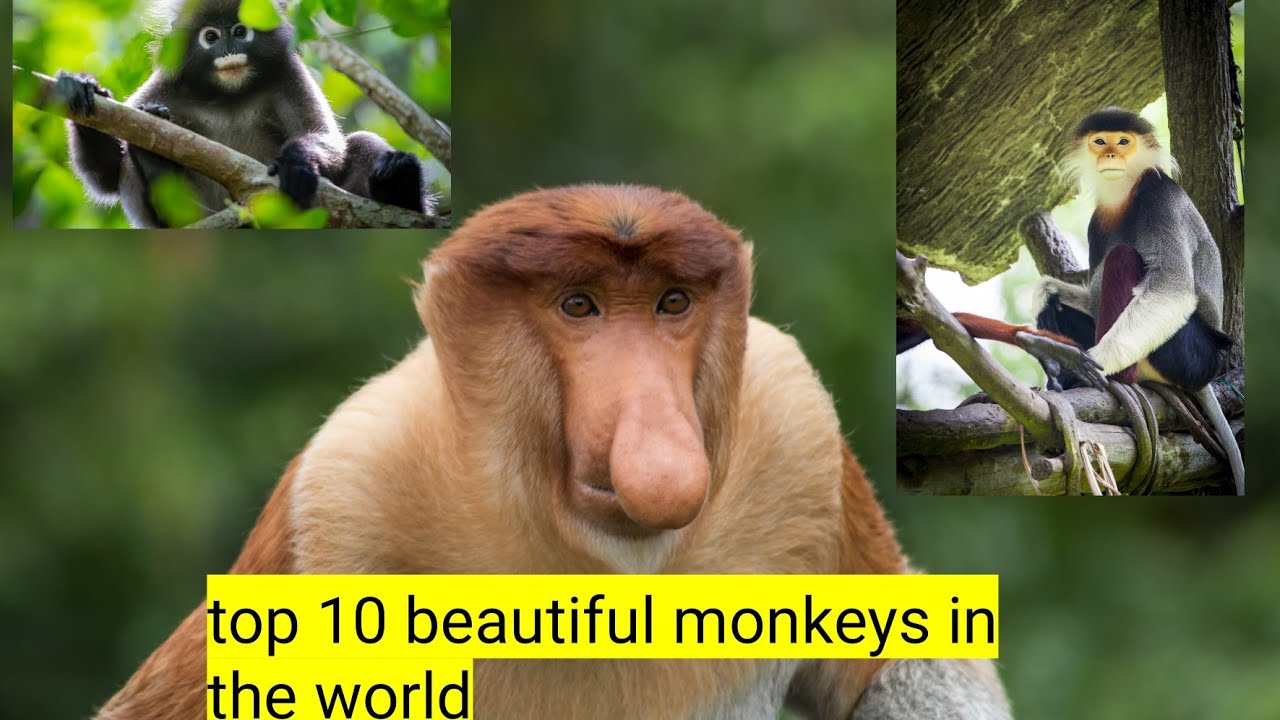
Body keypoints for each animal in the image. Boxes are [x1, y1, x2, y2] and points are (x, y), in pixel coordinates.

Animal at [55, 0, 428, 228]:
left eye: (239, 31)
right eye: (210, 36)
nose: (228, 50)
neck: (227, 95)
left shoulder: (288, 71)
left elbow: (325, 138)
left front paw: (297, 161)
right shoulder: (164, 86)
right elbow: (107, 177)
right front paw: (85, 88)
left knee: (362, 142)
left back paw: (400, 185)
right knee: (132, 165)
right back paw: (153, 164)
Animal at [92, 186, 1013, 720]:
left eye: (672, 302)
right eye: (579, 306)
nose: (658, 444)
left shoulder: (792, 429)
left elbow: (905, 659)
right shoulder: (346, 492)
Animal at [1035, 107, 1244, 494]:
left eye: (1123, 141)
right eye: (1100, 141)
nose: (1110, 155)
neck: (1125, 192)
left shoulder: (1160, 196)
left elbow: (1171, 289)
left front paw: (1092, 364)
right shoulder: (1097, 220)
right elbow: (1087, 297)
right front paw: (1045, 292)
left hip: (1189, 355)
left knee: (1123, 257)